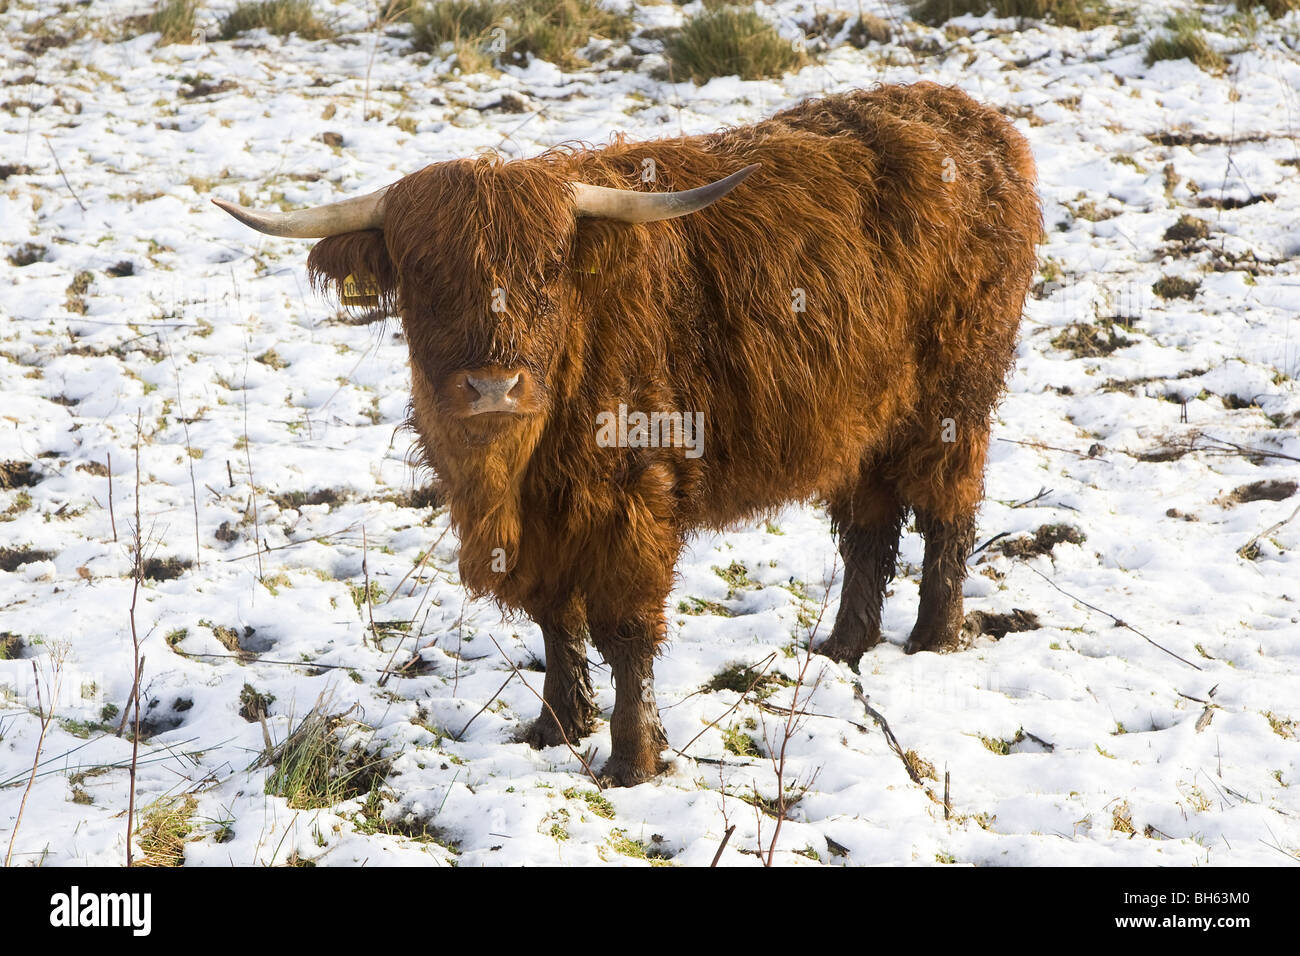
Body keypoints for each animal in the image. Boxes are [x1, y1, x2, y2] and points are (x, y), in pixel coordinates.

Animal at [214, 82, 1041, 786]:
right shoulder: (545, 528)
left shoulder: (632, 501)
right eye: (421, 276)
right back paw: (844, 647)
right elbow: (555, 618)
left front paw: (633, 757)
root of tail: (976, 120)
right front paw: (556, 724)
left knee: (948, 509)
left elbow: (625, 630)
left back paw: (933, 636)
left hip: (953, 399)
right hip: (865, 420)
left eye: (548, 270)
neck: (516, 469)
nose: (492, 387)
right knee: (869, 525)